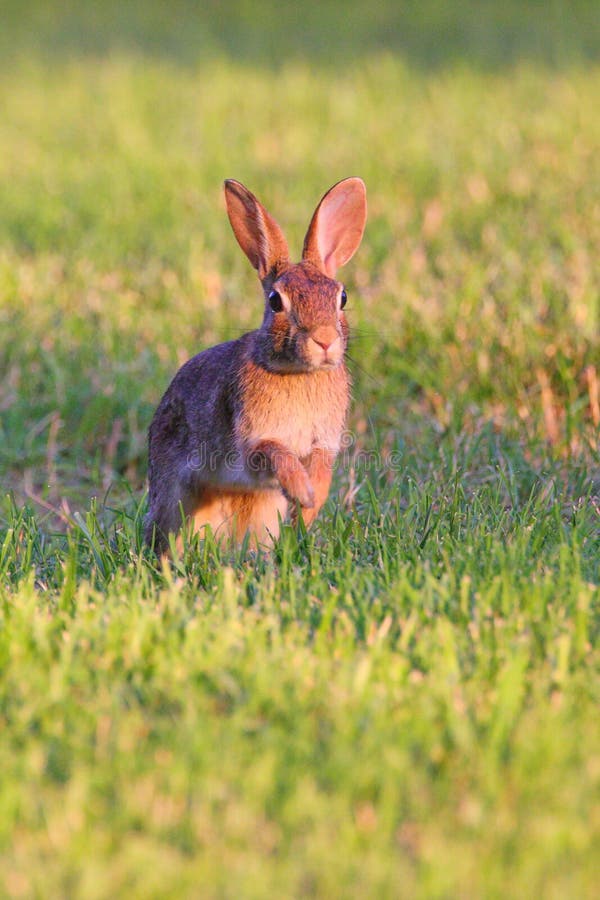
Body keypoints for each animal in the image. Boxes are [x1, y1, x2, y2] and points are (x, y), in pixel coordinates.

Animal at [144, 176, 367, 553]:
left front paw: (310, 505)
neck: (298, 372)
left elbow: (322, 468)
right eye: (276, 301)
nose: (324, 340)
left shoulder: (323, 442)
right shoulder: (251, 445)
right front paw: (302, 491)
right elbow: (275, 452)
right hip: (173, 499)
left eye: (342, 297)